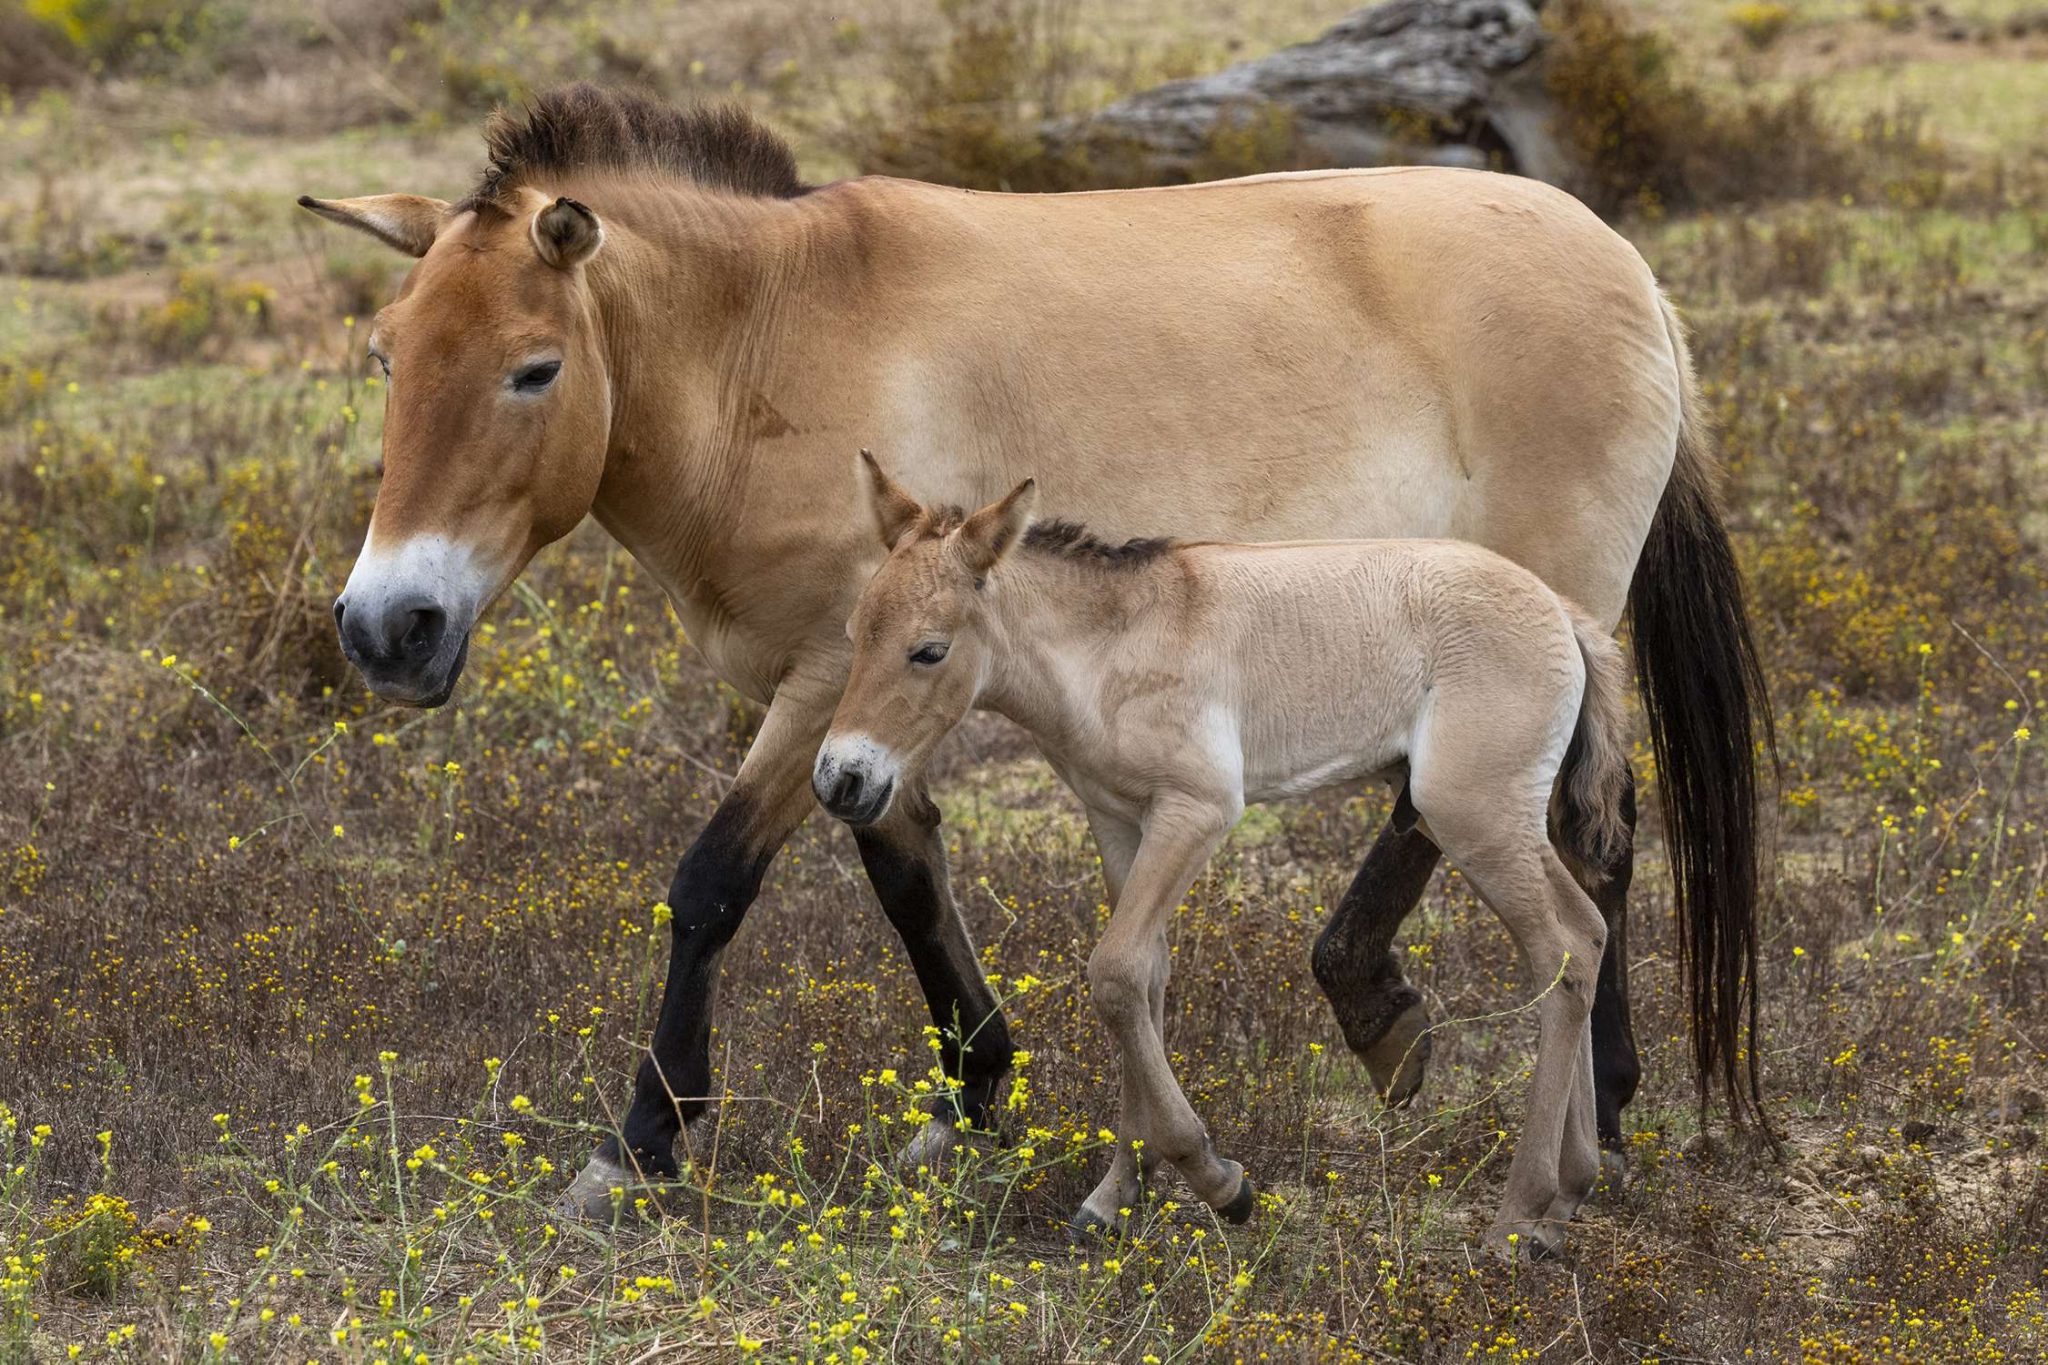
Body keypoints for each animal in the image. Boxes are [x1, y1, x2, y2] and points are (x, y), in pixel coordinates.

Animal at [814, 455, 1634, 1258]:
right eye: (853, 631)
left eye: (929, 649)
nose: (840, 779)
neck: (1111, 649)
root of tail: (1566, 615)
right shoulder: (1121, 823)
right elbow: (1143, 981)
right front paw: (1117, 1197)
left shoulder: (1197, 811)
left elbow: (1114, 972)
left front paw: (1217, 1181)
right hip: (1499, 823)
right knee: (1588, 935)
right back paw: (1568, 1194)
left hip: (1471, 817)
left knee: (1559, 955)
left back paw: (1519, 1214)